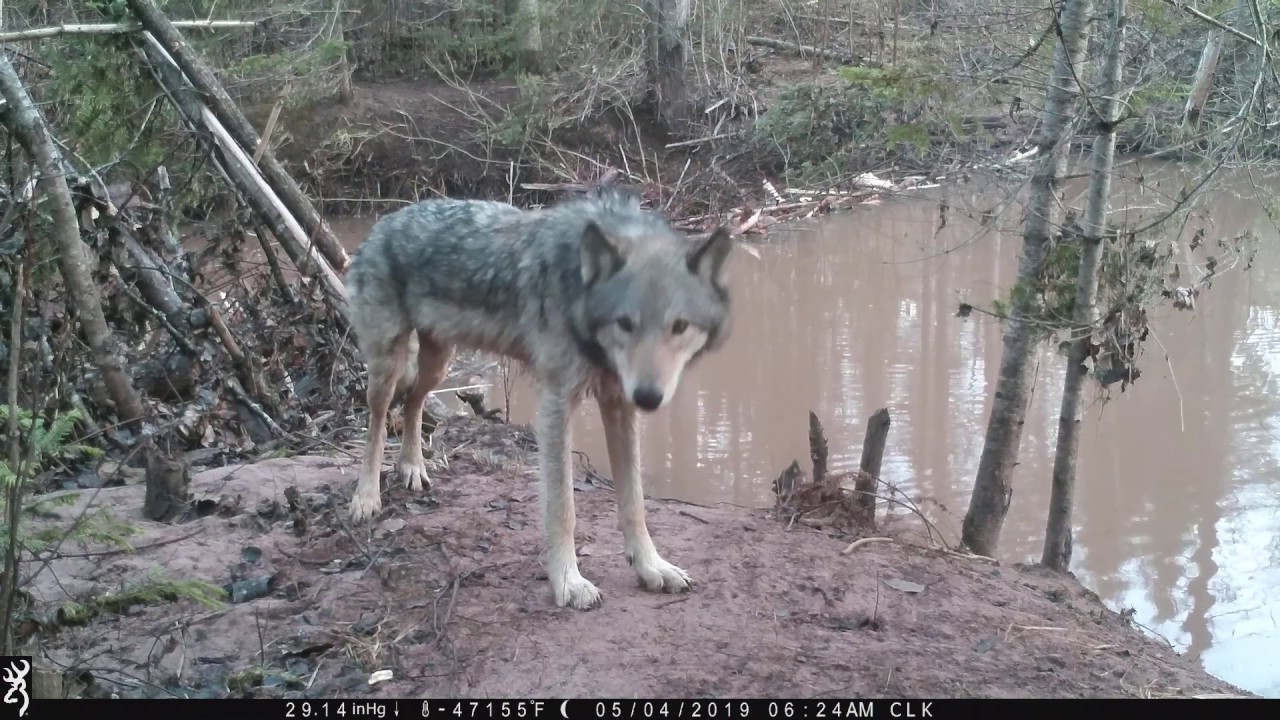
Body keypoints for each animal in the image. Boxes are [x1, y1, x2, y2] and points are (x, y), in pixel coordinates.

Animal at [343, 185, 734, 610]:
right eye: (625, 323)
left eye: (679, 326)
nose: (648, 396)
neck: (578, 286)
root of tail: (383, 224)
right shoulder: (557, 404)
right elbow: (563, 508)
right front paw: (568, 582)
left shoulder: (618, 403)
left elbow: (634, 503)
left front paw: (651, 567)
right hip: (387, 367)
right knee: (377, 422)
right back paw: (366, 497)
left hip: (437, 365)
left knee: (414, 403)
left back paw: (413, 467)